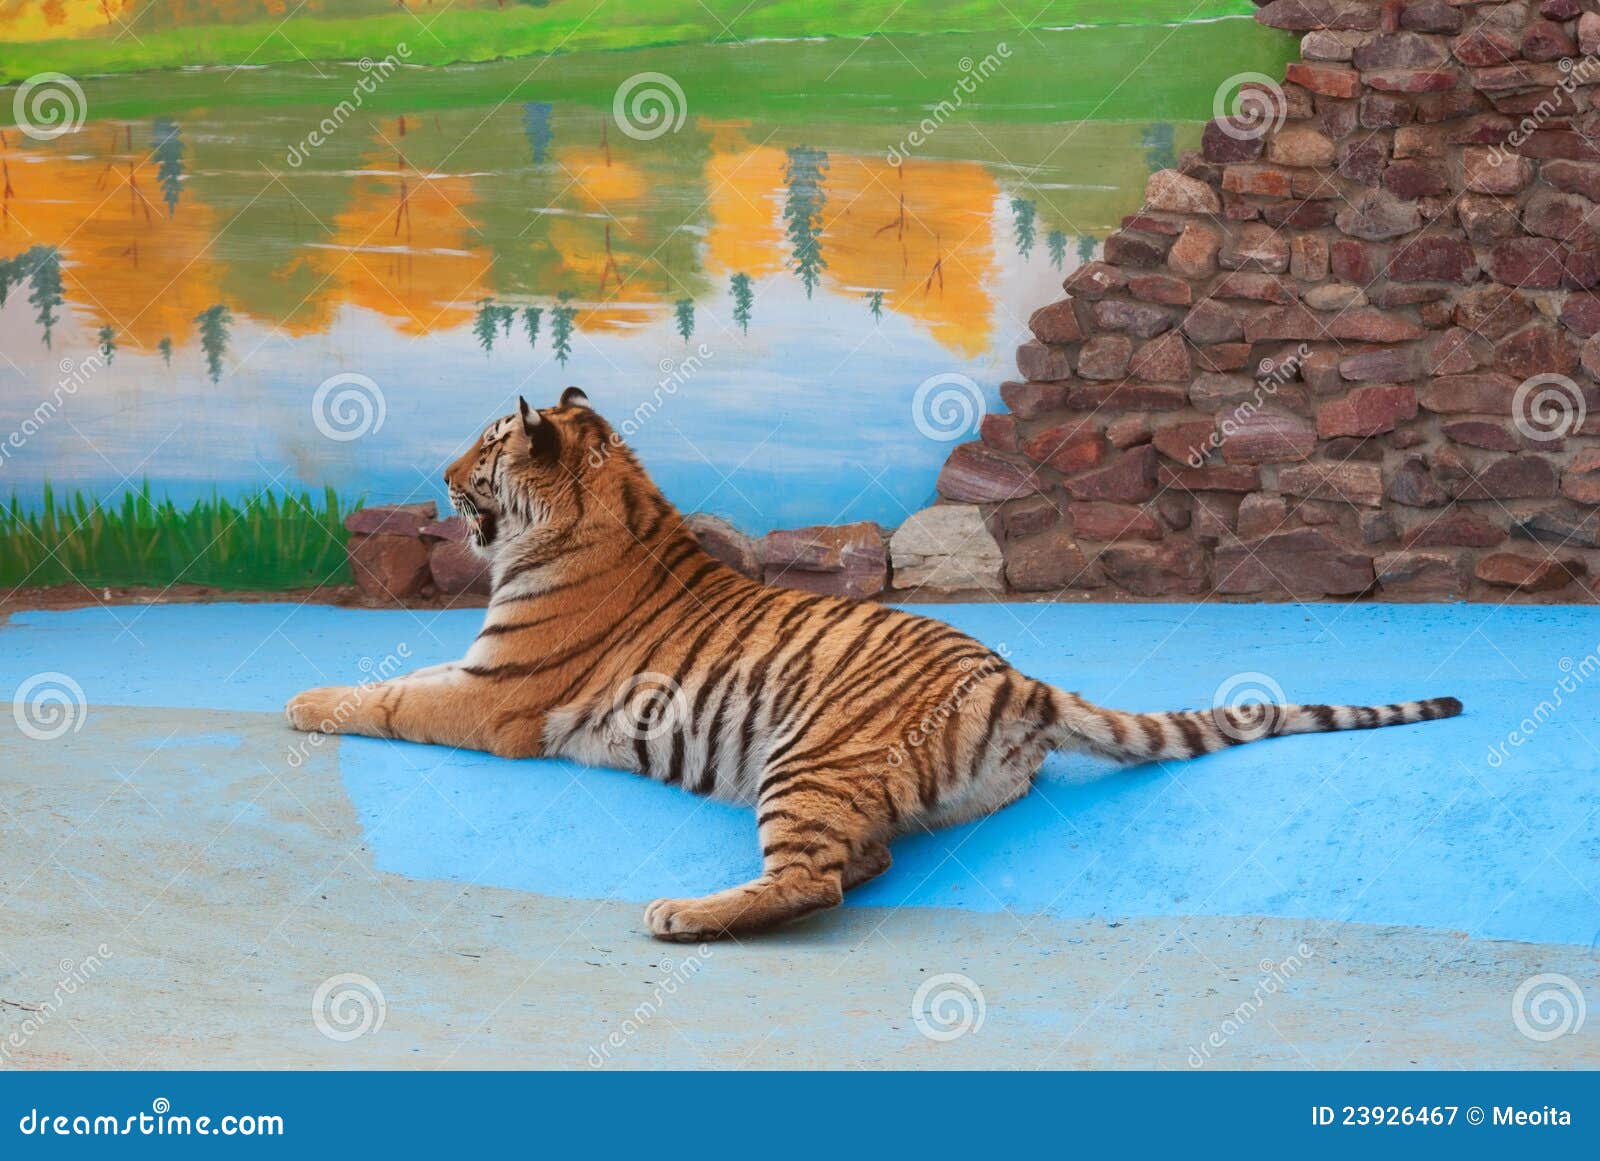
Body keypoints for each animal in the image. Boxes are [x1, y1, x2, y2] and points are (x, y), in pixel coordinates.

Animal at [286, 389, 1464, 942]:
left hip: (806, 755)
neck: (611, 507)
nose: (441, 476)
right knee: (865, 862)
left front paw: (301, 697)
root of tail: (1016, 680)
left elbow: (387, 697)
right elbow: (393, 685)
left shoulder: (493, 700)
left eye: (484, 452)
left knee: (811, 879)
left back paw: (684, 916)